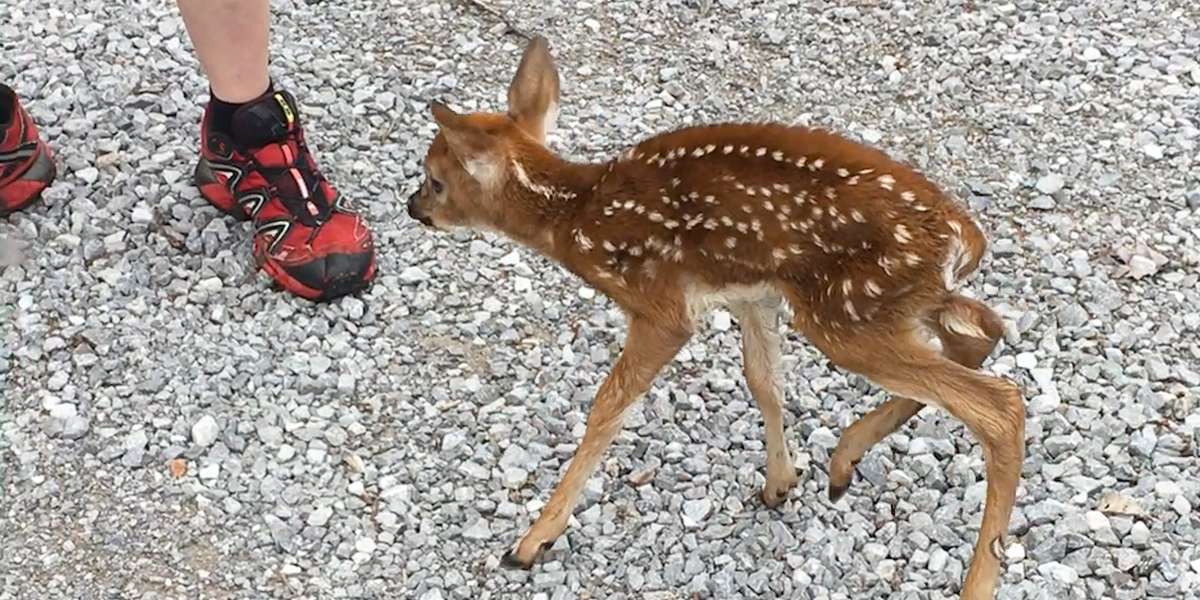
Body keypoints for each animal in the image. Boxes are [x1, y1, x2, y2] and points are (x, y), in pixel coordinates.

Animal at [407, 36, 1025, 600]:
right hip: (892, 302)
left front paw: (533, 541)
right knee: (983, 332)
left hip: (848, 312)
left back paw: (974, 580)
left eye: (435, 178)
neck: (576, 218)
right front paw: (780, 483)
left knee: (999, 404)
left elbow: (607, 407)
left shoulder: (659, 304)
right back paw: (843, 463)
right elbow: (764, 380)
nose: (413, 207)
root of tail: (964, 237)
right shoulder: (752, 293)